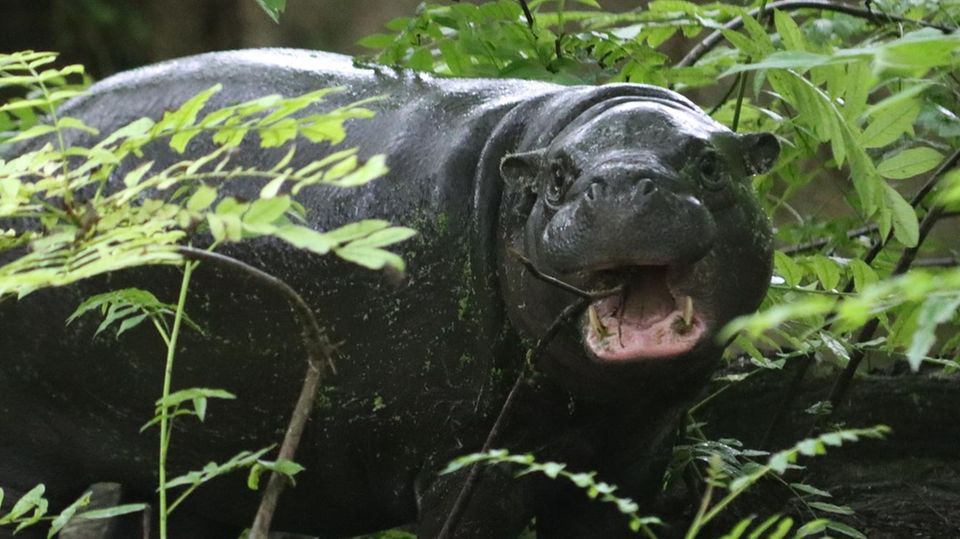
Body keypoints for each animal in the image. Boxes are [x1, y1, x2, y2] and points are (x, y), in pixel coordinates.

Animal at [0, 49, 777, 538]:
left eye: (712, 163)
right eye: (557, 176)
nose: (614, 182)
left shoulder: (632, 456)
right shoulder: (472, 465)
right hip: (27, 462)